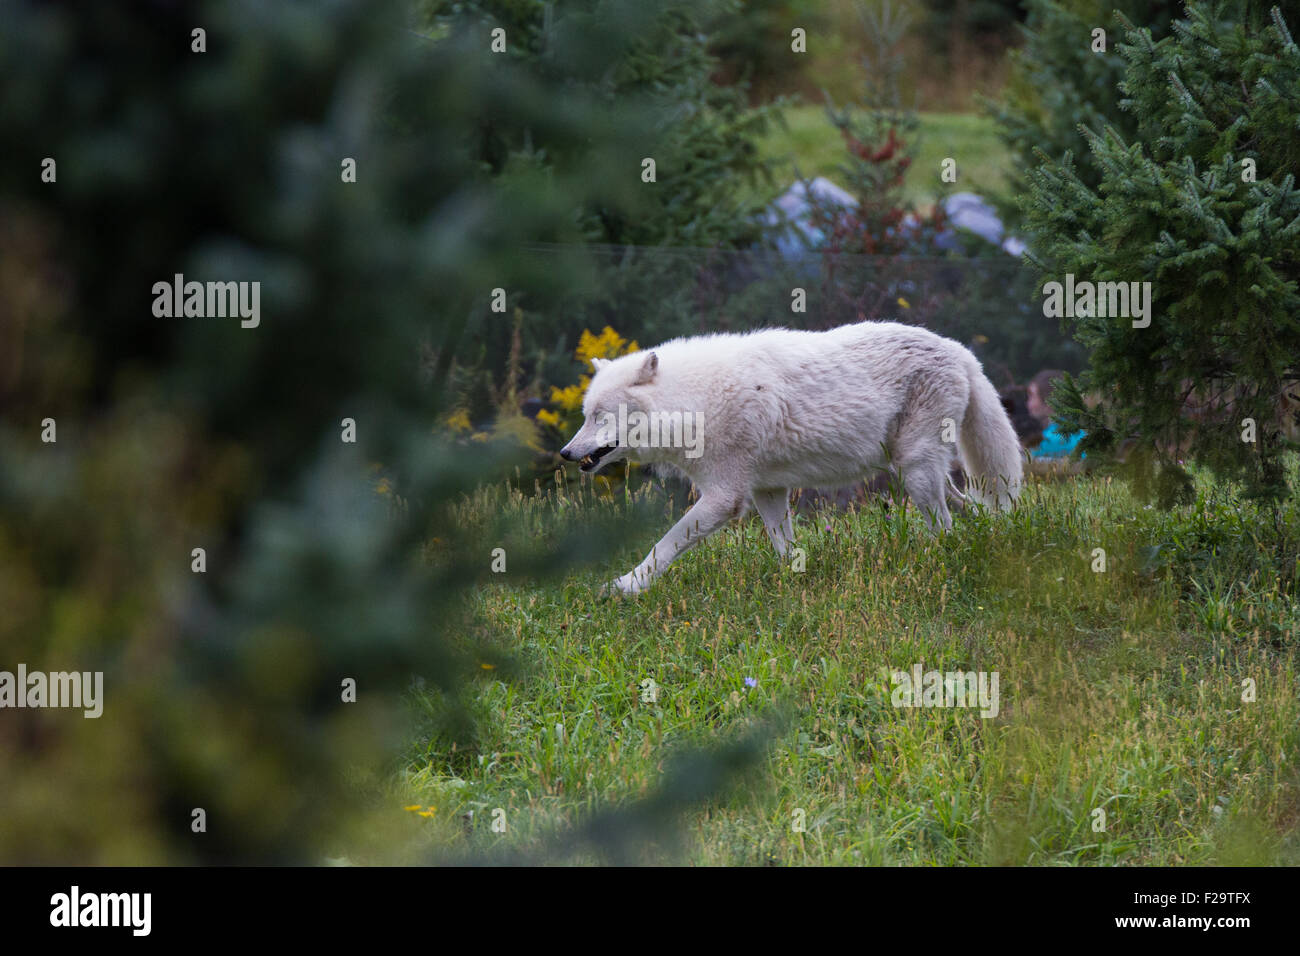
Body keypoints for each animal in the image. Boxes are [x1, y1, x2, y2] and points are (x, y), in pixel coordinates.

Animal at [560, 321, 1024, 595]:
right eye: (586, 415)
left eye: (600, 416)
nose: (566, 453)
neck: (693, 401)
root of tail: (959, 349)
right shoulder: (768, 490)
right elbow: (783, 545)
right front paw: (792, 581)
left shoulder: (724, 498)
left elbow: (664, 544)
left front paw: (626, 586)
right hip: (919, 471)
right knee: (969, 509)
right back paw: (991, 537)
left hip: (915, 473)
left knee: (944, 527)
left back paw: (938, 563)